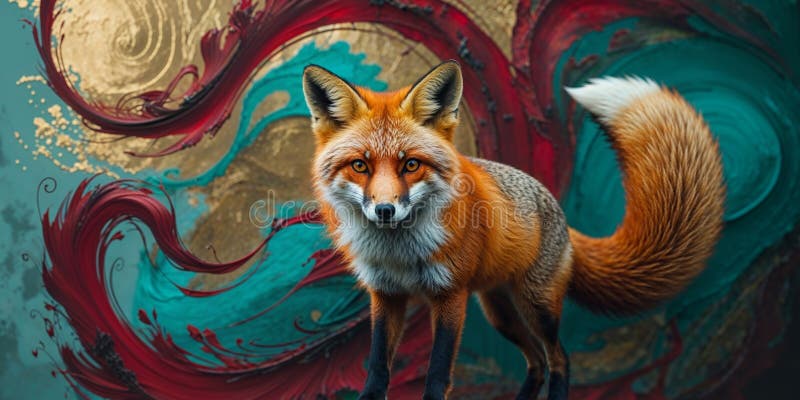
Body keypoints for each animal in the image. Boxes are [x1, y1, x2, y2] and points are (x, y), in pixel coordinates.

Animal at [301, 60, 725, 400]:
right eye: (360, 165)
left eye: (410, 165)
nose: (385, 210)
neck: (399, 254)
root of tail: (559, 212)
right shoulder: (385, 296)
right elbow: (377, 368)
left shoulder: (450, 295)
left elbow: (437, 374)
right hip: (499, 314)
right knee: (536, 362)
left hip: (537, 307)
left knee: (559, 358)